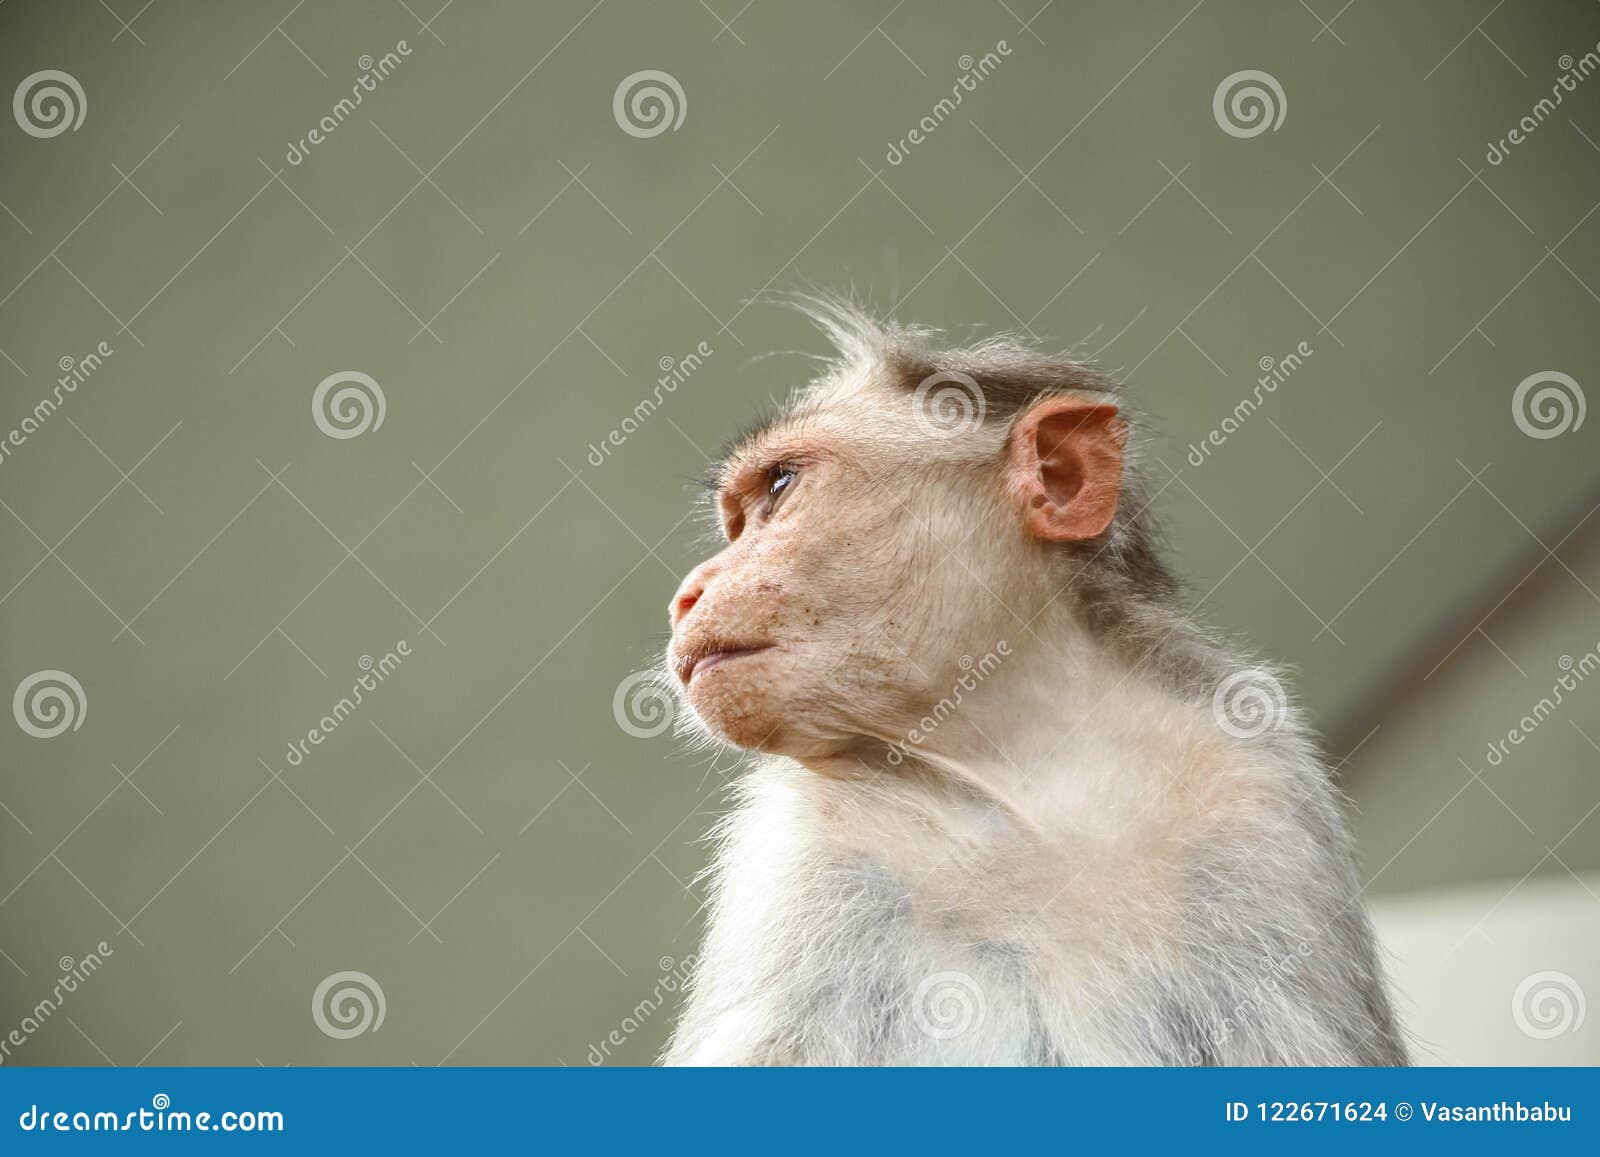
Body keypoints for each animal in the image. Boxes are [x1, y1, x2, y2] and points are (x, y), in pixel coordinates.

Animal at [658, 296, 1406, 1066]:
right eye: (739, 518)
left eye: (779, 488)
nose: (685, 595)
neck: (1029, 770)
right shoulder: (800, 850)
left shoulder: (1260, 800)